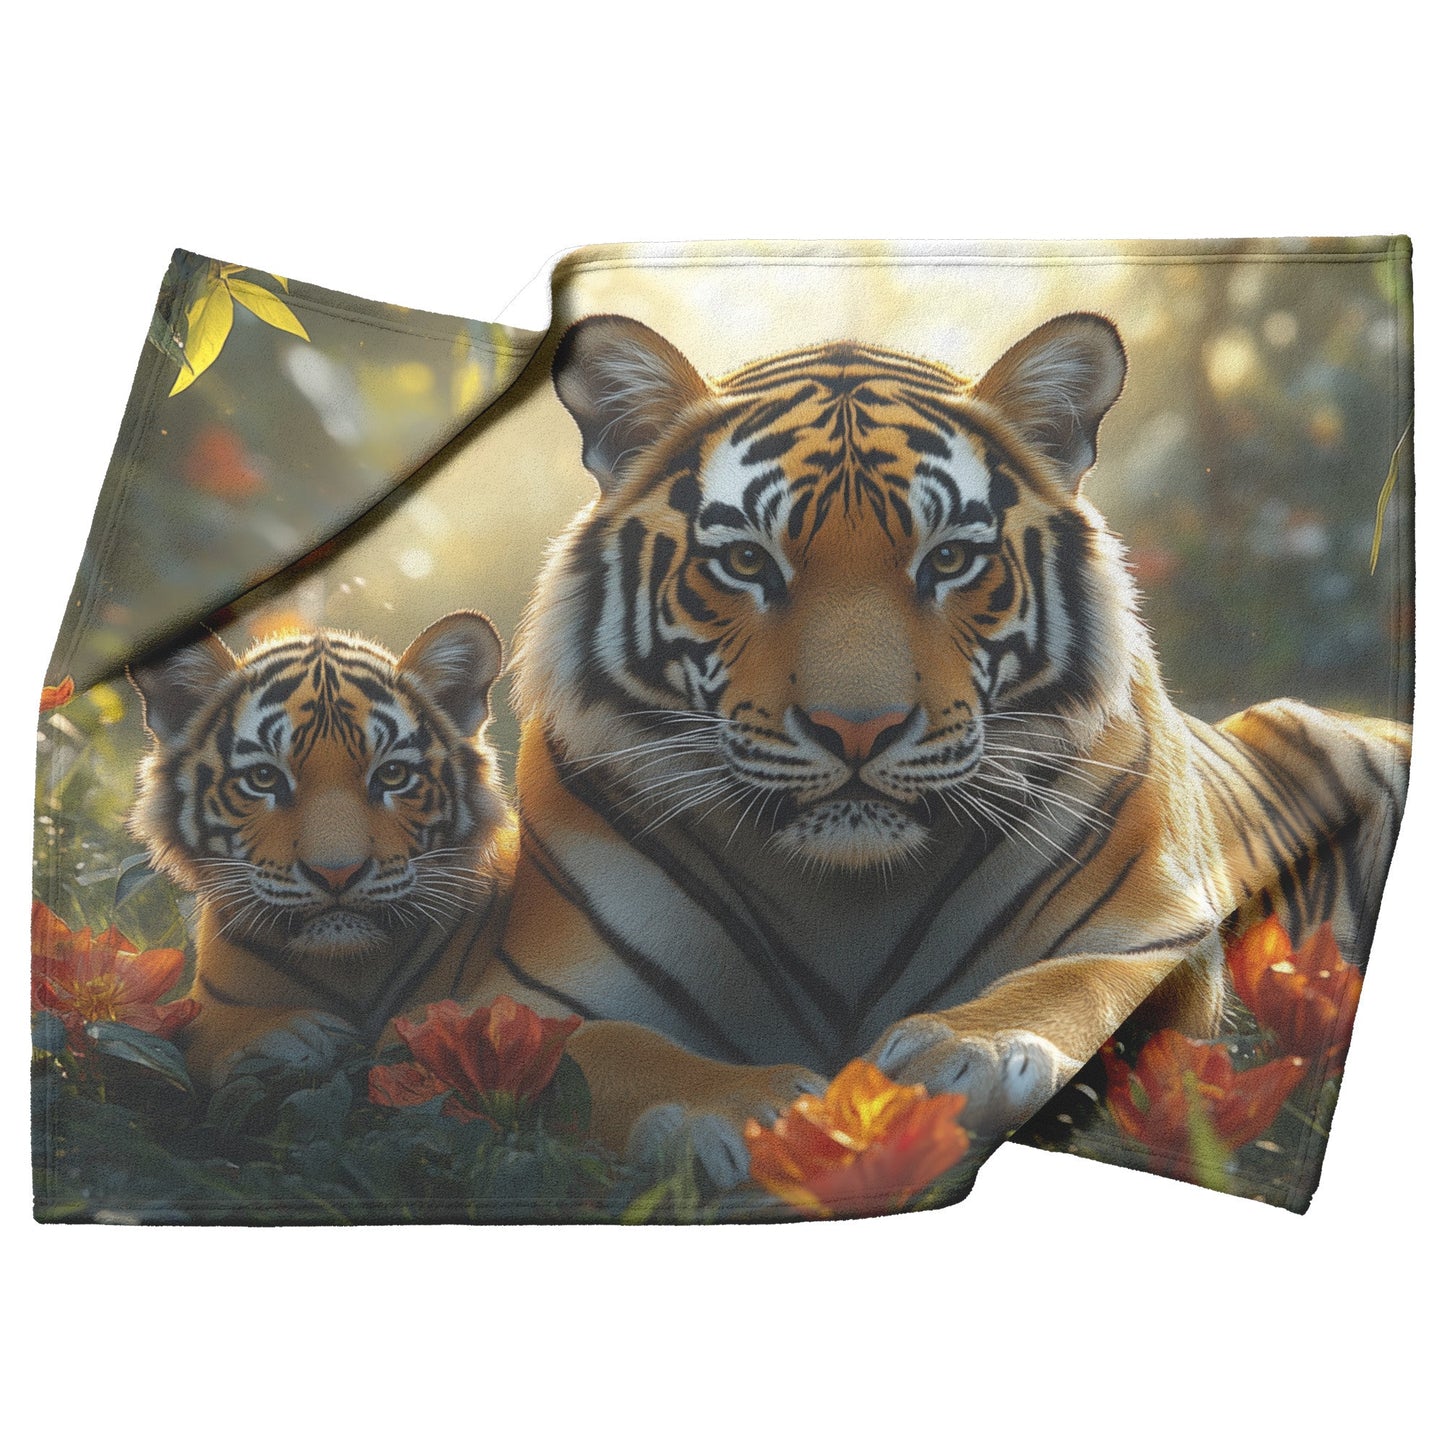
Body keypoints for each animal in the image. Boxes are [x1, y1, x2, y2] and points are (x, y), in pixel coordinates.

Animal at [128, 611, 515, 1088]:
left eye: (392, 775)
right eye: (263, 778)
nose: (337, 873)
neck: (350, 969)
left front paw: (430, 1025)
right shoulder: (202, 1009)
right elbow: (207, 1032)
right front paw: (293, 1035)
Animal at [479, 311, 1411, 1187]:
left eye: (951, 559)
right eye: (745, 560)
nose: (857, 727)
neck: (842, 896)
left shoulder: (1153, 936)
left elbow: (1071, 981)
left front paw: (967, 1054)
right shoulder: (526, 996)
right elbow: (608, 1053)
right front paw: (746, 1110)